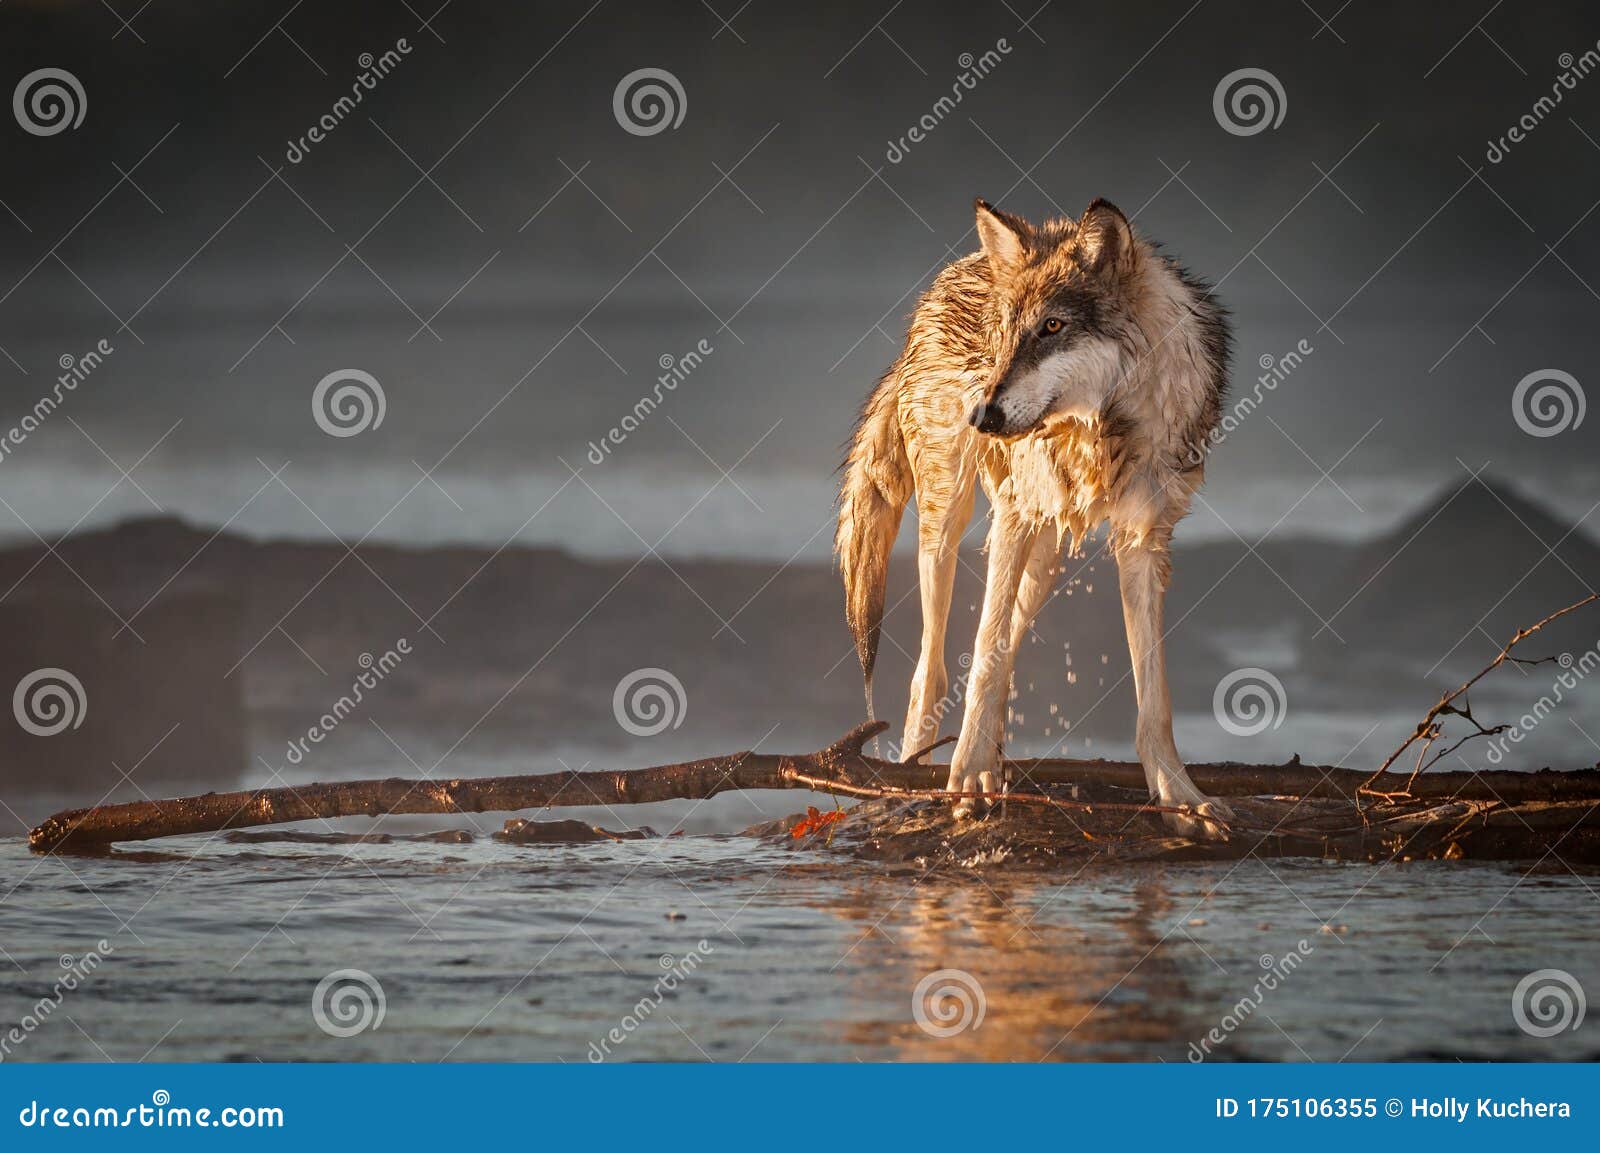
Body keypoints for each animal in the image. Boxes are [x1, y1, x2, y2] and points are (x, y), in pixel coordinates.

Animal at [836, 197, 1233, 836]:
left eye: (1052, 327)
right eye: (1003, 335)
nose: (981, 415)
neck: (1101, 428)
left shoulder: (1144, 539)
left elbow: (1155, 701)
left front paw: (1180, 797)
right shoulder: (1014, 515)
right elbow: (984, 655)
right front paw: (968, 774)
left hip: (1044, 559)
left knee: (1004, 650)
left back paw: (992, 761)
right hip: (949, 521)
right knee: (932, 671)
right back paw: (919, 775)